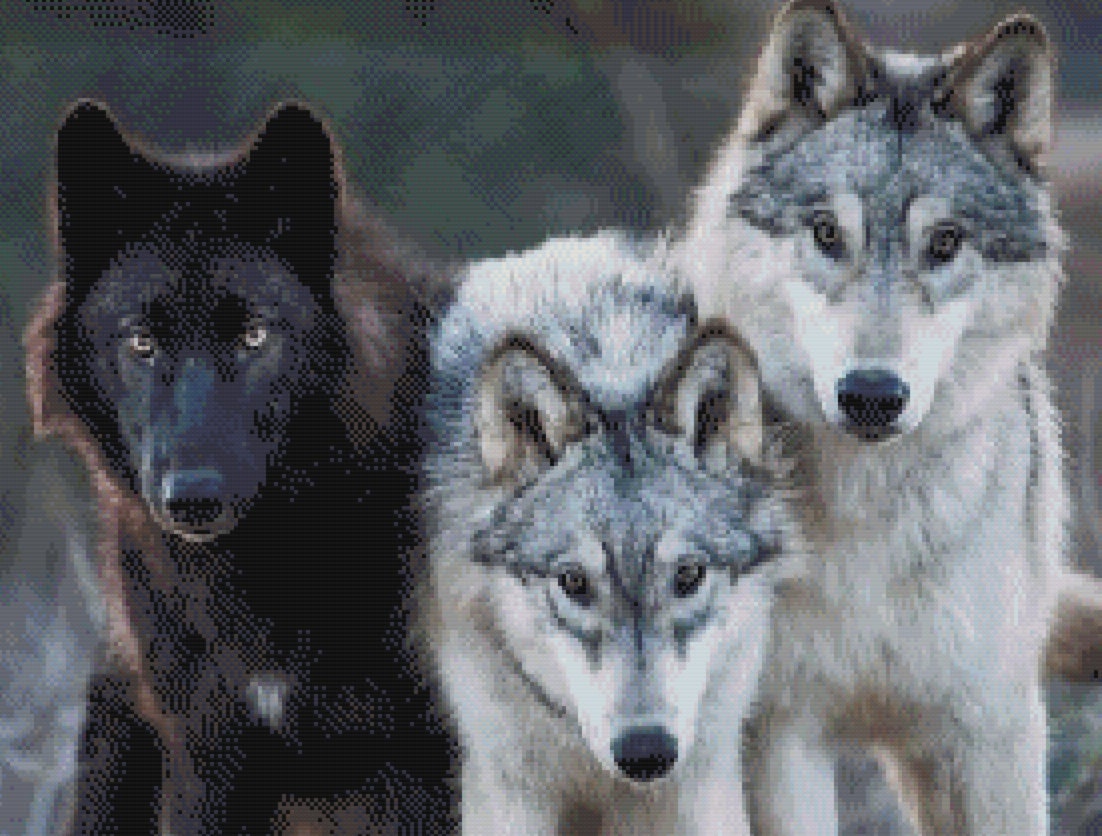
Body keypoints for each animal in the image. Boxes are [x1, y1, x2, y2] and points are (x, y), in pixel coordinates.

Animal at [671, 1, 1089, 833]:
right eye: (828, 234)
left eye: (946, 242)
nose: (871, 393)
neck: (869, 522)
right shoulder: (781, 733)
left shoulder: (992, 728)